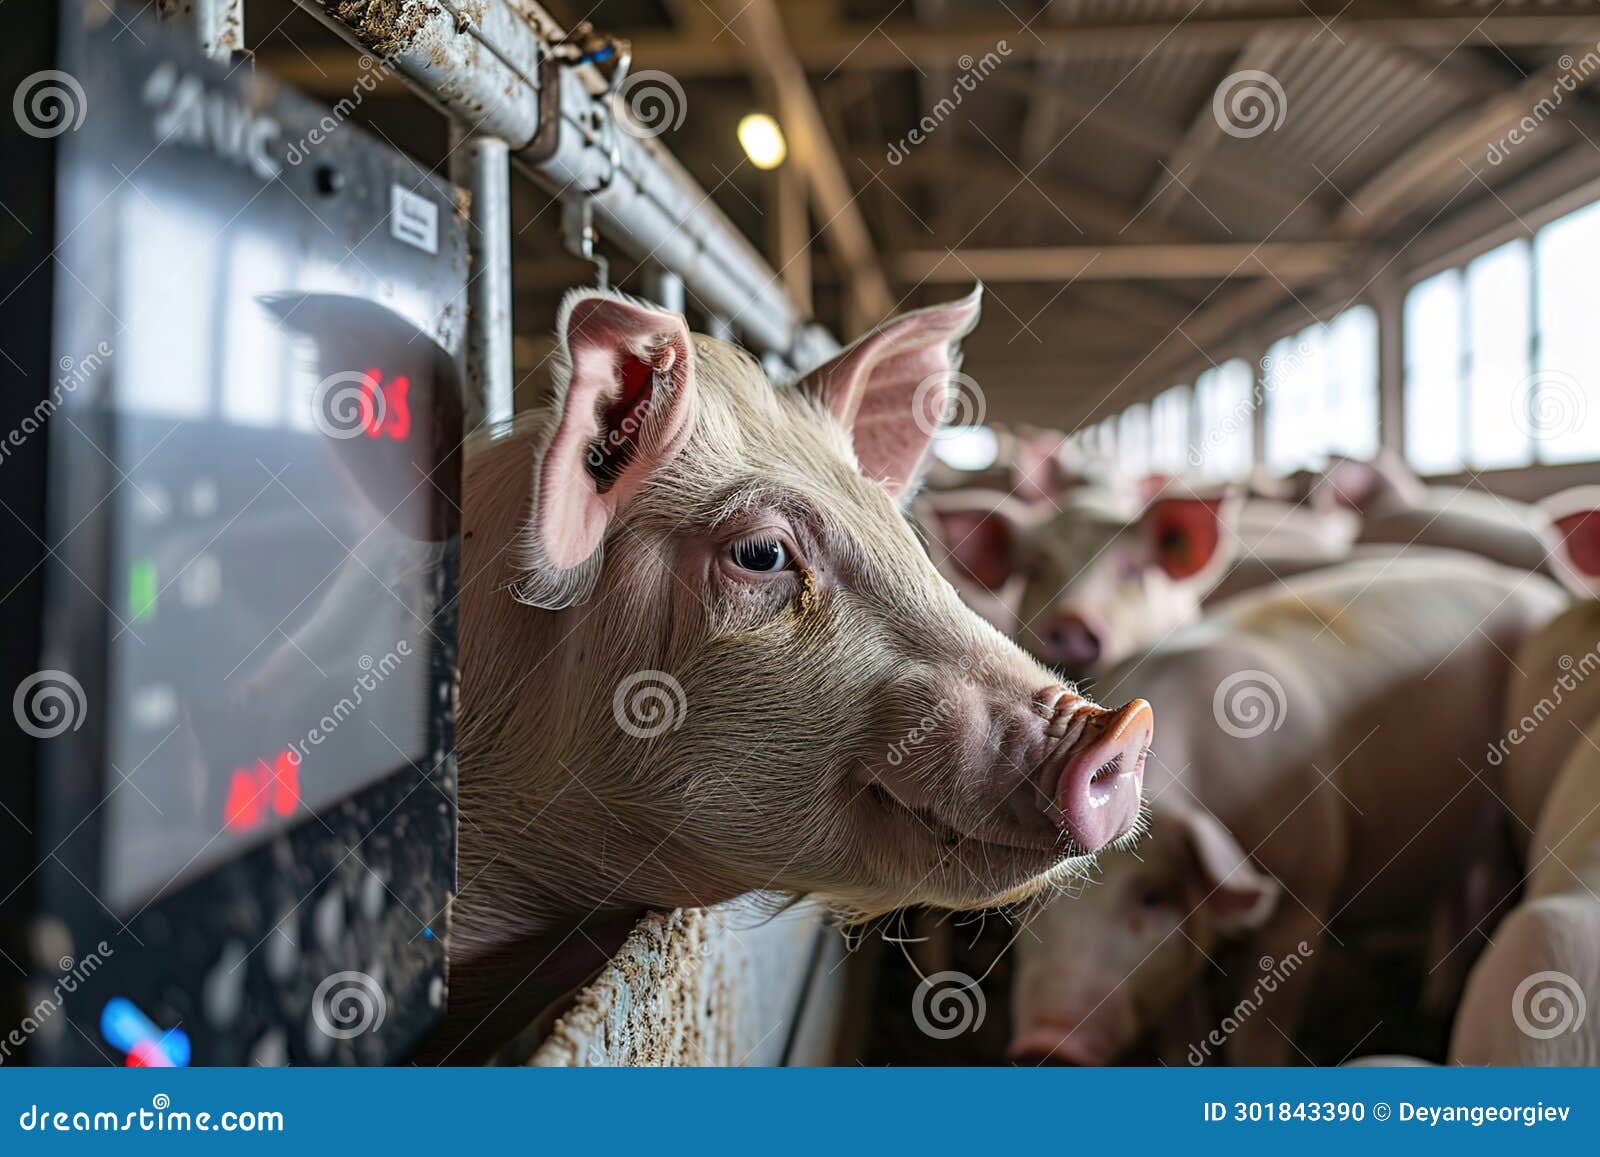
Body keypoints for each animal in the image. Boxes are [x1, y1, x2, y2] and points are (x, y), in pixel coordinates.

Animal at [1008, 554, 1564, 1065]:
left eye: (1150, 896)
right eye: (1033, 904)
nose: (1046, 1044)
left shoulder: (1305, 893)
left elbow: (1260, 1032)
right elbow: (1182, 1027)